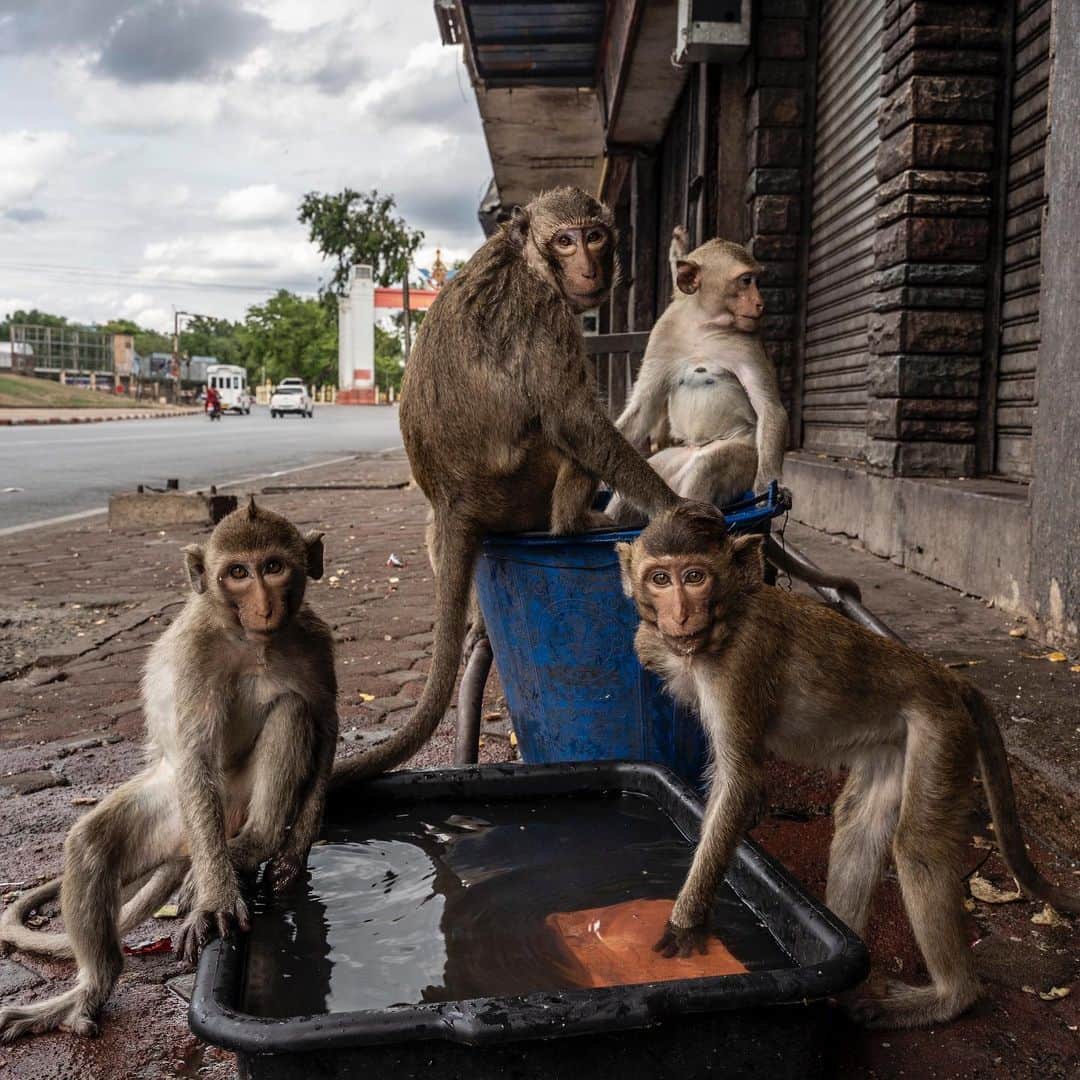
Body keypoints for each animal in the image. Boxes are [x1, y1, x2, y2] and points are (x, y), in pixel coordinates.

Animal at [0, 498, 338, 1040]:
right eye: (237, 573)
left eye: (273, 567)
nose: (263, 605)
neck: (254, 643)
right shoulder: (196, 655)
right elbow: (196, 753)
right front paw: (218, 900)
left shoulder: (314, 640)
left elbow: (326, 725)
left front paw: (294, 852)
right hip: (182, 816)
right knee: (92, 844)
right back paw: (92, 988)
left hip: (228, 809)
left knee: (292, 711)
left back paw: (257, 842)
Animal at [330, 186, 682, 789]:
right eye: (564, 240)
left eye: (595, 235)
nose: (588, 265)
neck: (527, 259)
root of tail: (455, 501)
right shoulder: (543, 312)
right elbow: (573, 420)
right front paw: (676, 508)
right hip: (521, 487)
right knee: (561, 435)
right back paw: (575, 521)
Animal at [606, 229, 788, 524]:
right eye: (746, 281)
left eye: (755, 281)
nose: (760, 303)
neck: (703, 323)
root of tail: (696, 448)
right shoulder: (663, 333)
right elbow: (644, 408)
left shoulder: (748, 342)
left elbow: (770, 408)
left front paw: (769, 488)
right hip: (671, 462)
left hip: (743, 451)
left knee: (709, 465)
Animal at [616, 504, 1079, 1030]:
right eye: (659, 578)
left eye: (694, 577)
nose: (679, 613)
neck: (724, 622)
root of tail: (942, 675)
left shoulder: (741, 665)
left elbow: (739, 781)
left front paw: (686, 921)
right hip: (894, 741)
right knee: (860, 824)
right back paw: (840, 962)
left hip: (940, 732)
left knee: (917, 845)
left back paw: (949, 996)